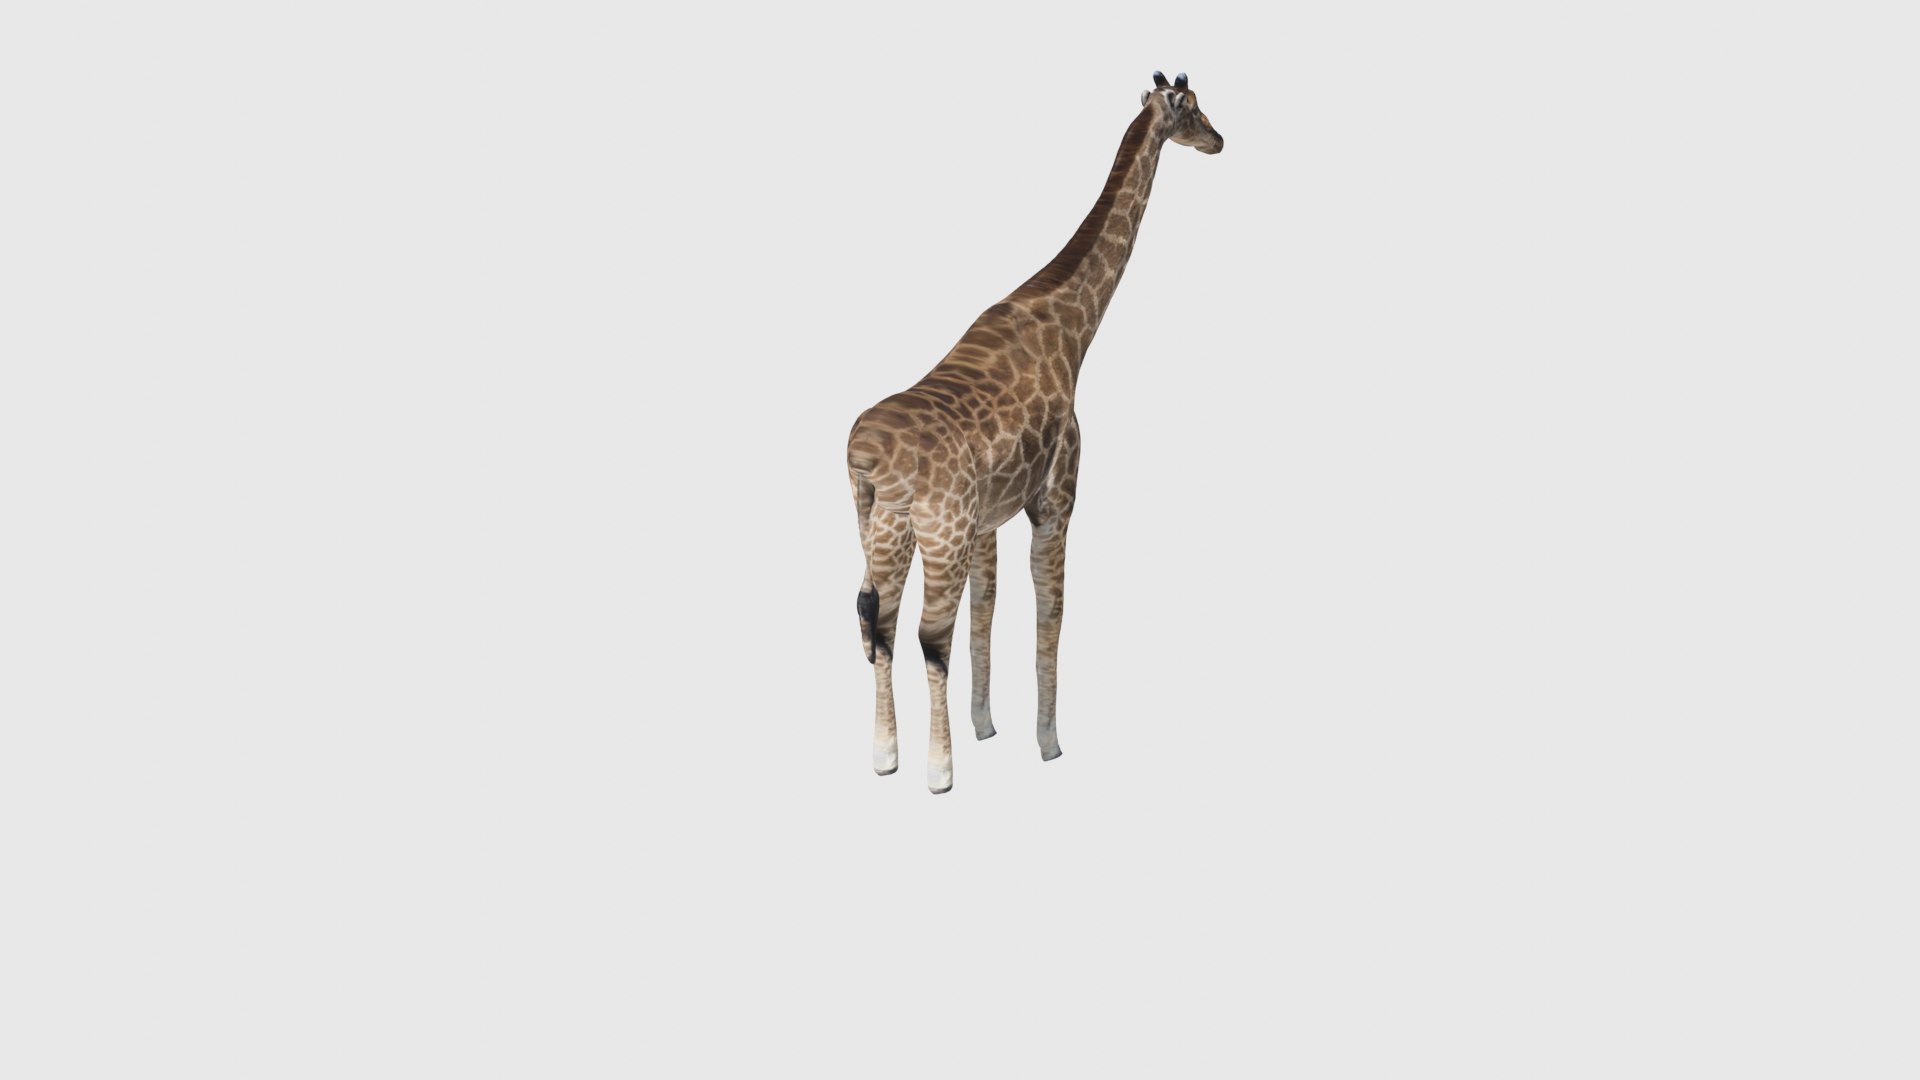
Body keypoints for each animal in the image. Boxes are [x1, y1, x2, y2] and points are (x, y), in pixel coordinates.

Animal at [848, 71, 1224, 793]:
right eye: (1192, 110)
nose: (1221, 140)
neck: (1073, 327)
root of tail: (862, 454)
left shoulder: (987, 520)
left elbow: (987, 612)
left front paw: (987, 725)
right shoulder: (1056, 499)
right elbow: (1050, 612)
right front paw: (1048, 744)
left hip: (881, 526)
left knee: (875, 619)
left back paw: (884, 757)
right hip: (934, 532)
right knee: (925, 636)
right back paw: (937, 774)